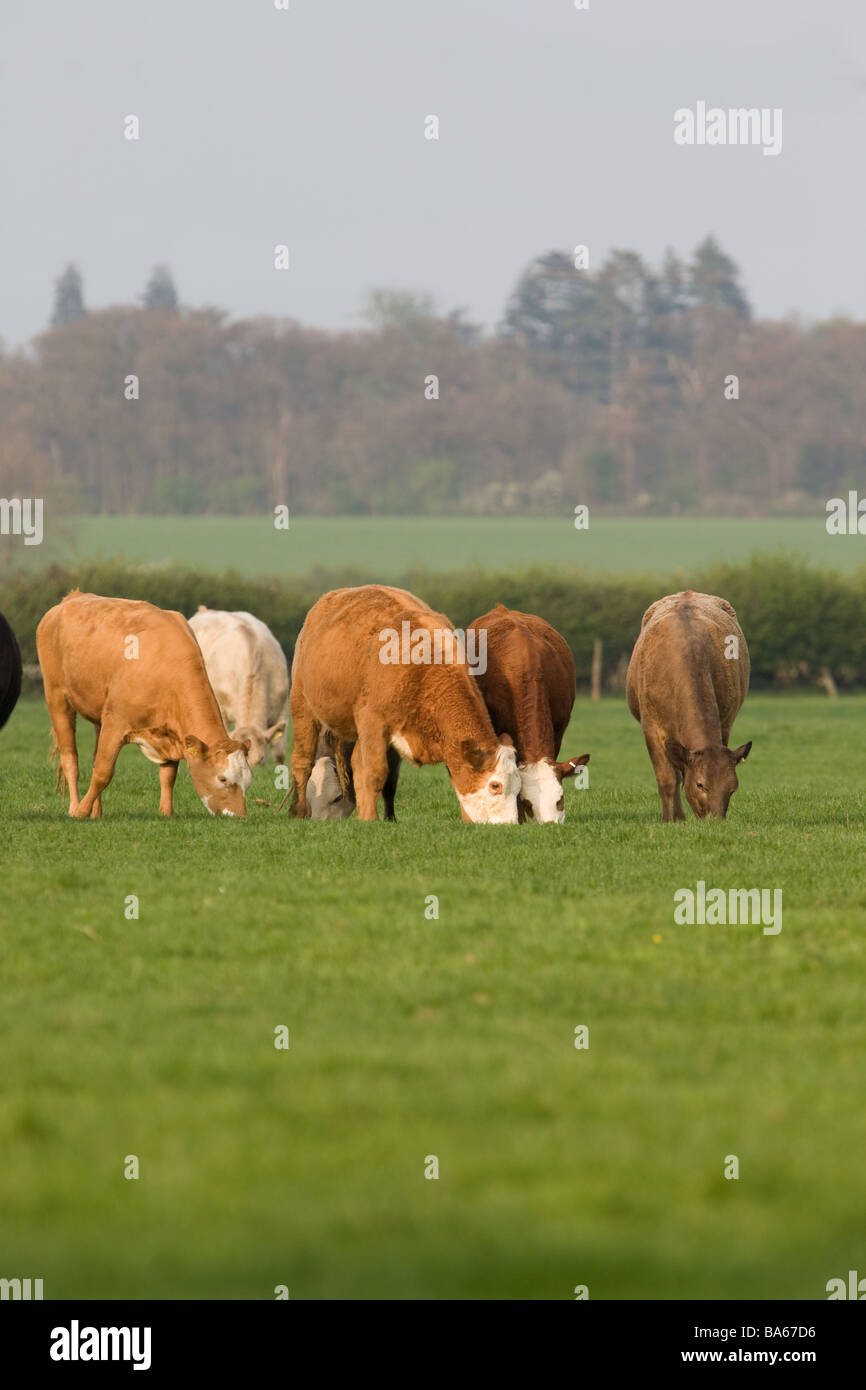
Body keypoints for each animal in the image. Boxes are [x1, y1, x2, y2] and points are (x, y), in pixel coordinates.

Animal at [36, 591, 252, 818]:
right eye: (223, 779)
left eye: (248, 782)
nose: (239, 817)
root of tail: (71, 598)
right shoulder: (116, 722)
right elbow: (103, 773)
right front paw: (81, 811)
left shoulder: (171, 731)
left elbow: (168, 775)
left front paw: (166, 812)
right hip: (57, 698)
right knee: (70, 760)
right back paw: (75, 807)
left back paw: (97, 813)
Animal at [289, 585, 520, 822]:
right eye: (495, 786)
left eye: (518, 786)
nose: (510, 825)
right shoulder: (373, 722)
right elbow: (374, 773)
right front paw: (370, 820)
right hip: (302, 706)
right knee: (302, 762)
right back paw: (299, 812)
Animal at [626, 590, 751, 821]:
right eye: (700, 785)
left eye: (732, 789)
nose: (715, 820)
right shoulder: (651, 727)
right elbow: (667, 779)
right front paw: (669, 820)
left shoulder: (725, 721)